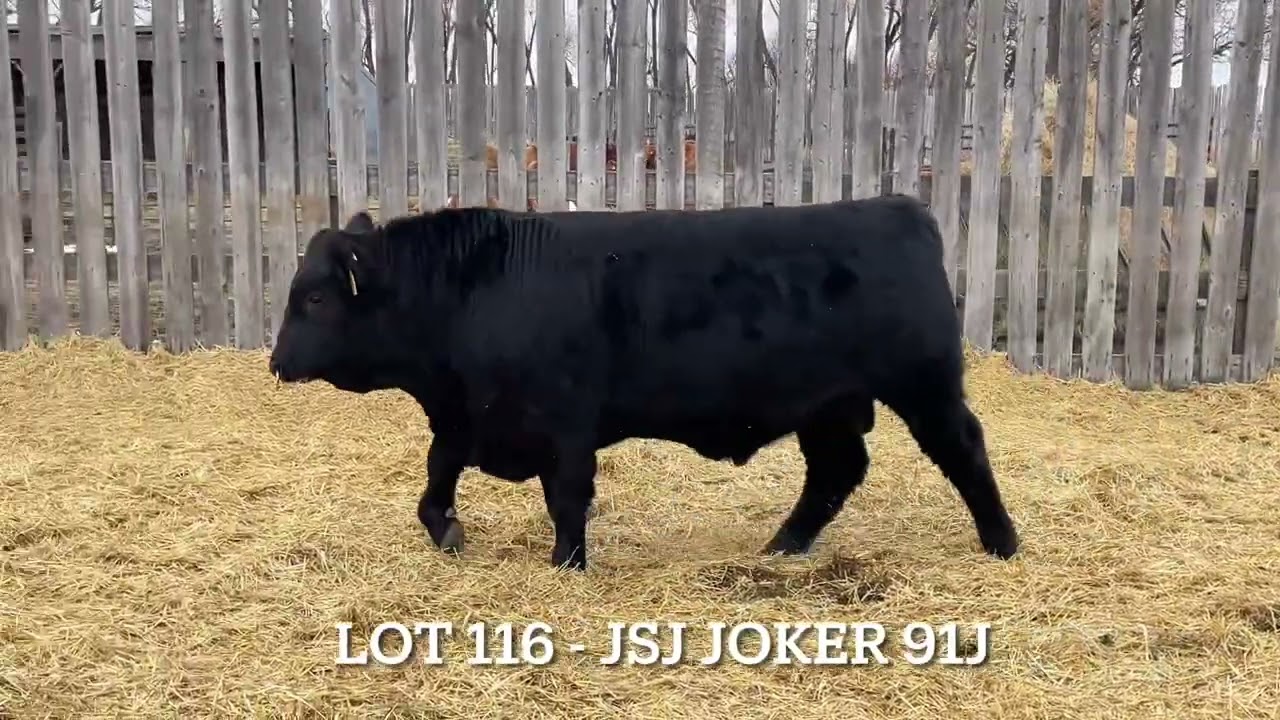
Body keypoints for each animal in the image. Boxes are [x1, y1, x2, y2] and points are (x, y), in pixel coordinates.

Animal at [267, 196, 1019, 572]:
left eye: (314, 298)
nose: (276, 362)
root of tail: (898, 206)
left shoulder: (566, 421)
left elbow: (567, 498)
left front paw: (567, 565)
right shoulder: (465, 416)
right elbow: (436, 476)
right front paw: (447, 531)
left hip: (924, 385)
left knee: (964, 450)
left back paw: (1002, 542)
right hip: (828, 404)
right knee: (835, 472)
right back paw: (782, 546)